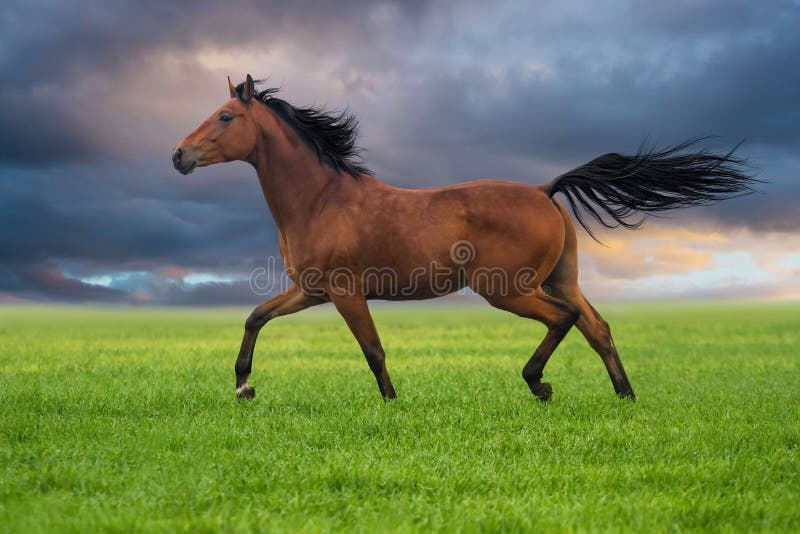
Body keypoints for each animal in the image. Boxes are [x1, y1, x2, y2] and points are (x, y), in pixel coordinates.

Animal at [172, 75, 755, 402]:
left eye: (225, 117)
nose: (179, 155)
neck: (320, 200)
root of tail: (544, 189)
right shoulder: (310, 291)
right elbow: (255, 317)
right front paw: (244, 387)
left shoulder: (344, 292)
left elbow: (373, 351)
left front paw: (392, 404)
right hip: (560, 279)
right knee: (597, 328)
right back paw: (625, 397)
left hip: (507, 289)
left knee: (564, 320)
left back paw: (539, 384)